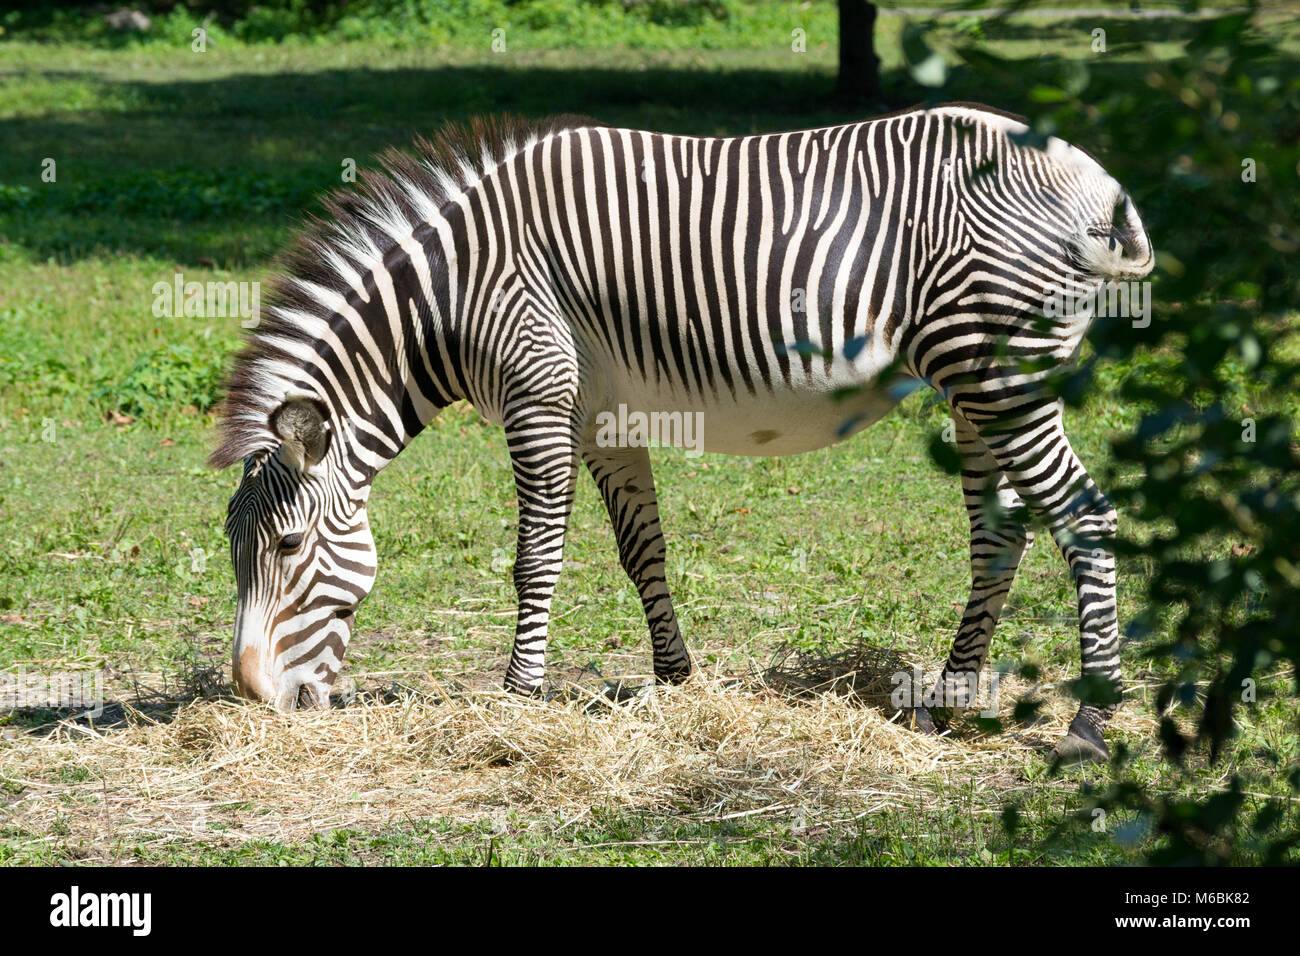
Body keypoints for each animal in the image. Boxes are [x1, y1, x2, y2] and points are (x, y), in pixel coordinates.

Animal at [212, 104, 1154, 762]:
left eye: (288, 547)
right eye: (232, 550)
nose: (257, 698)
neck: (451, 293)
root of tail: (1097, 180)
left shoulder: (536, 395)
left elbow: (536, 557)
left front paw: (518, 699)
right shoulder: (599, 416)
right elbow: (642, 551)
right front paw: (676, 682)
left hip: (998, 372)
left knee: (1085, 518)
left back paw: (1091, 718)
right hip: (975, 384)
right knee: (1000, 532)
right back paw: (950, 700)